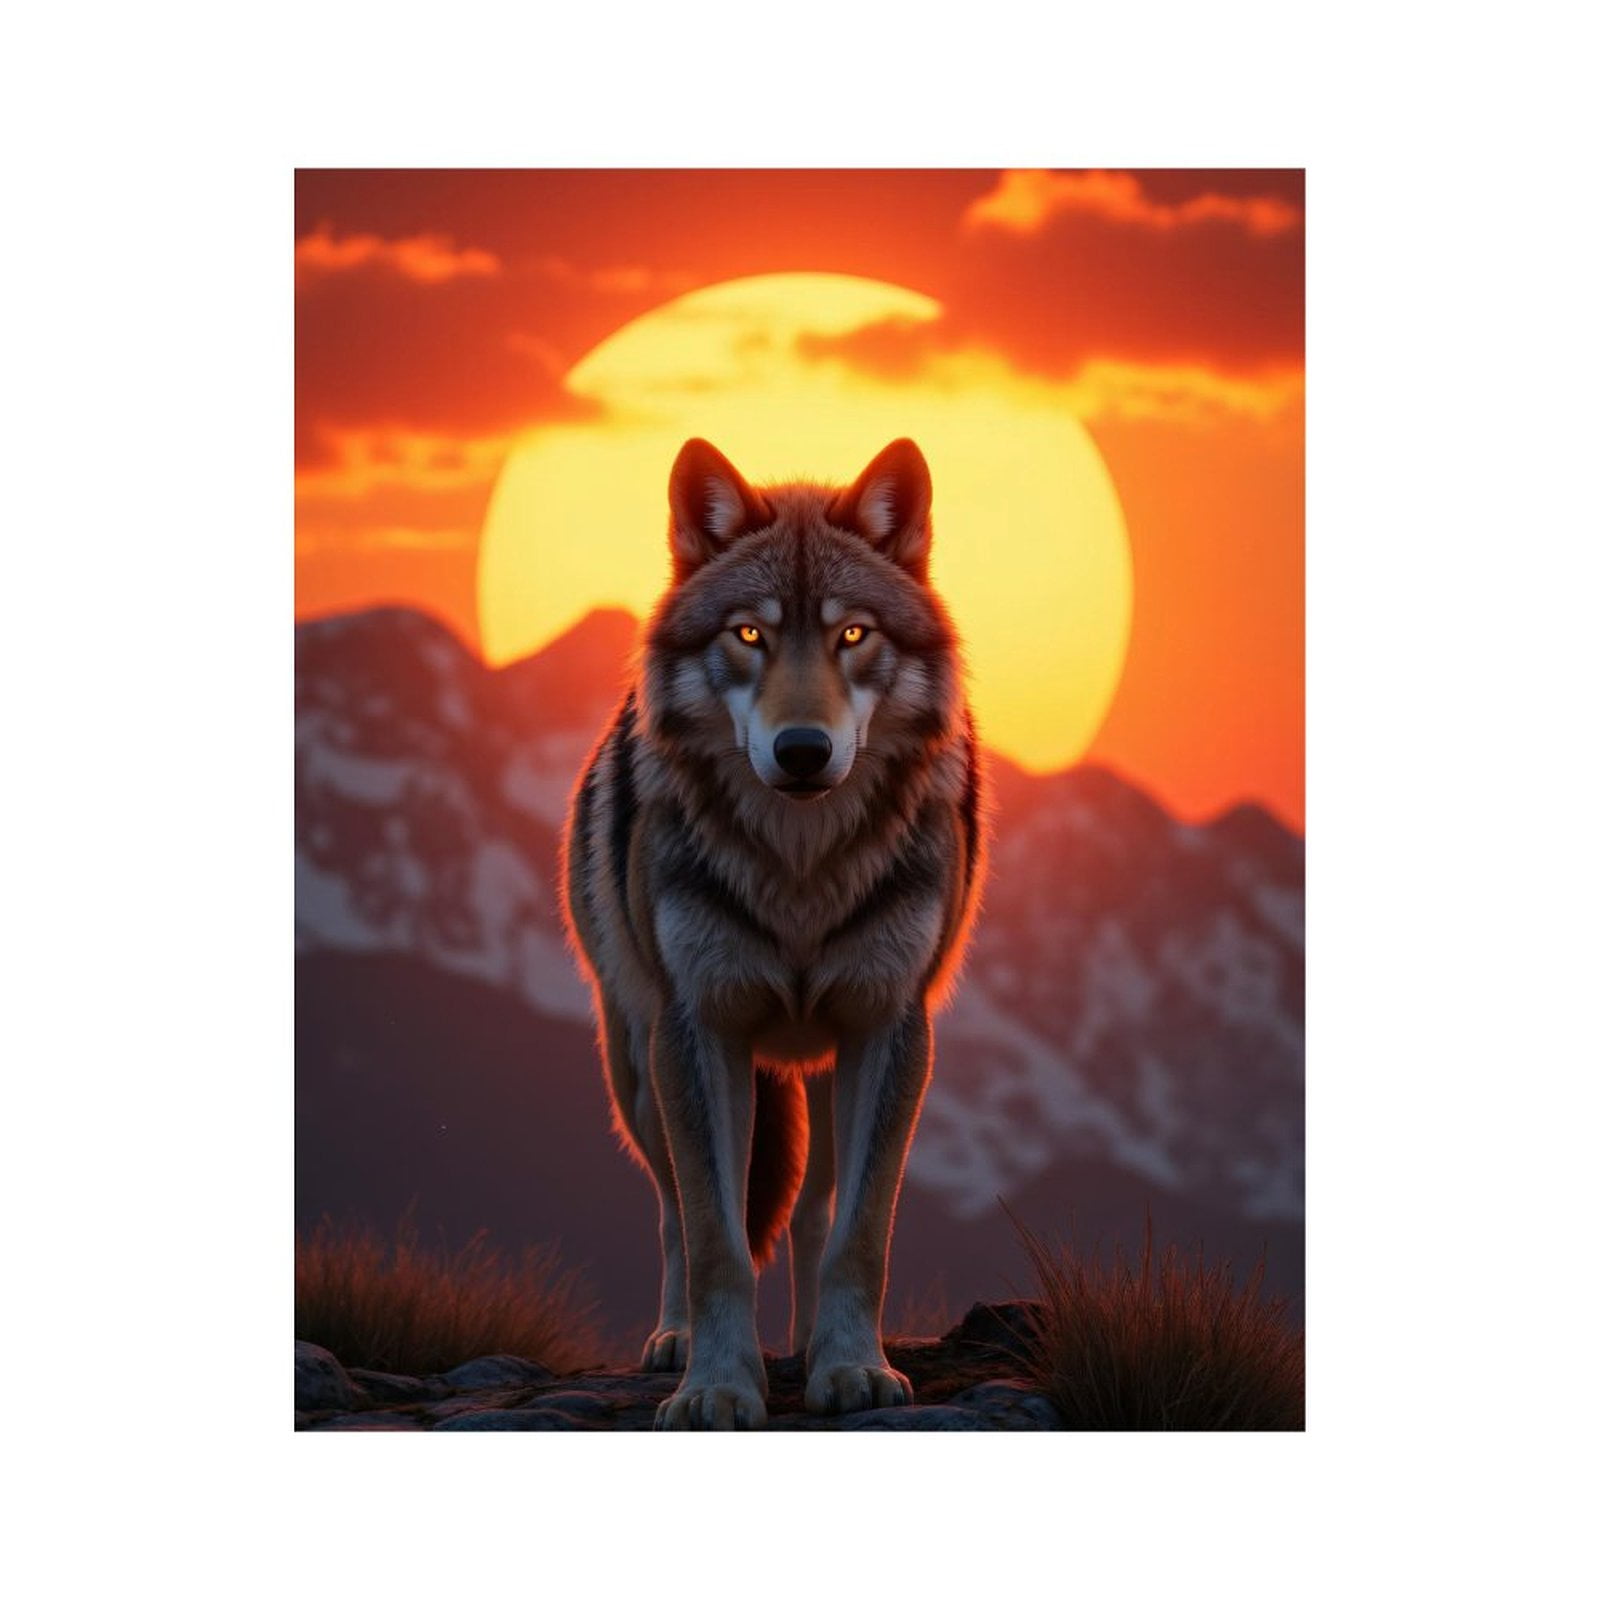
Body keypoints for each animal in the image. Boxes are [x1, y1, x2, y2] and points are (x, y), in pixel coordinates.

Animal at [561, 436, 985, 1430]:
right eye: (748, 635)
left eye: (853, 635)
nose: (801, 751)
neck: (800, 871)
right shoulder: (700, 1028)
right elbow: (715, 1238)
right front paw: (716, 1385)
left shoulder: (889, 1026)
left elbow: (861, 1236)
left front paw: (853, 1368)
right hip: (637, 1070)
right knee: (673, 1212)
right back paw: (676, 1342)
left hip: (823, 1073)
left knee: (814, 1212)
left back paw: (806, 1348)